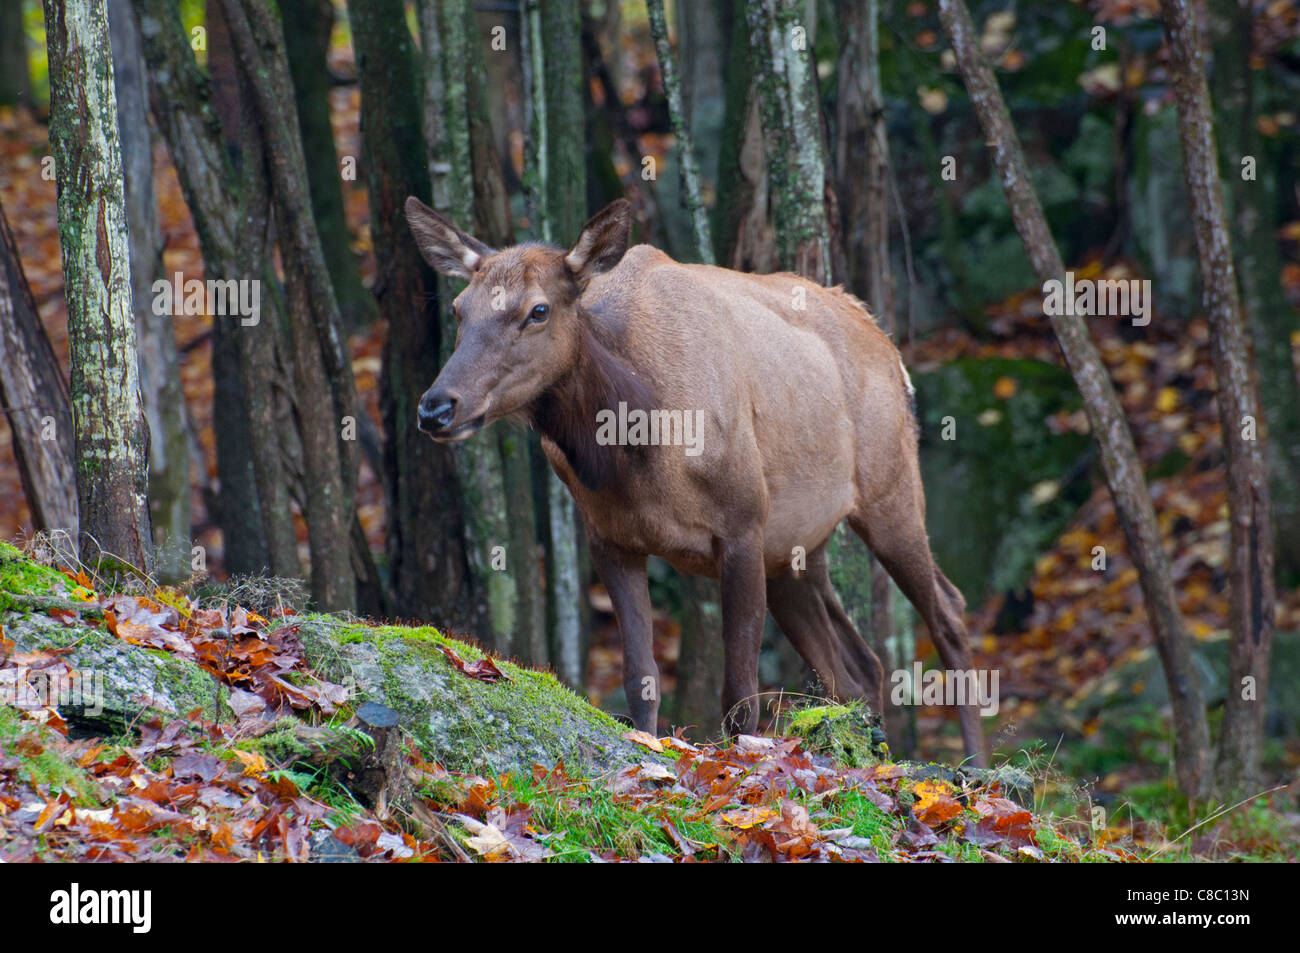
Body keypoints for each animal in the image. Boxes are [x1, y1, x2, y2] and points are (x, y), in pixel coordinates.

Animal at [405, 195, 988, 765]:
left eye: (538, 310)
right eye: (458, 309)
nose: (435, 407)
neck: (640, 442)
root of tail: (887, 341)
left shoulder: (743, 525)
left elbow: (740, 696)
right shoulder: (608, 538)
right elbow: (640, 678)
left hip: (890, 487)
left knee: (949, 611)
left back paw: (976, 768)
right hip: (796, 551)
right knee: (859, 668)